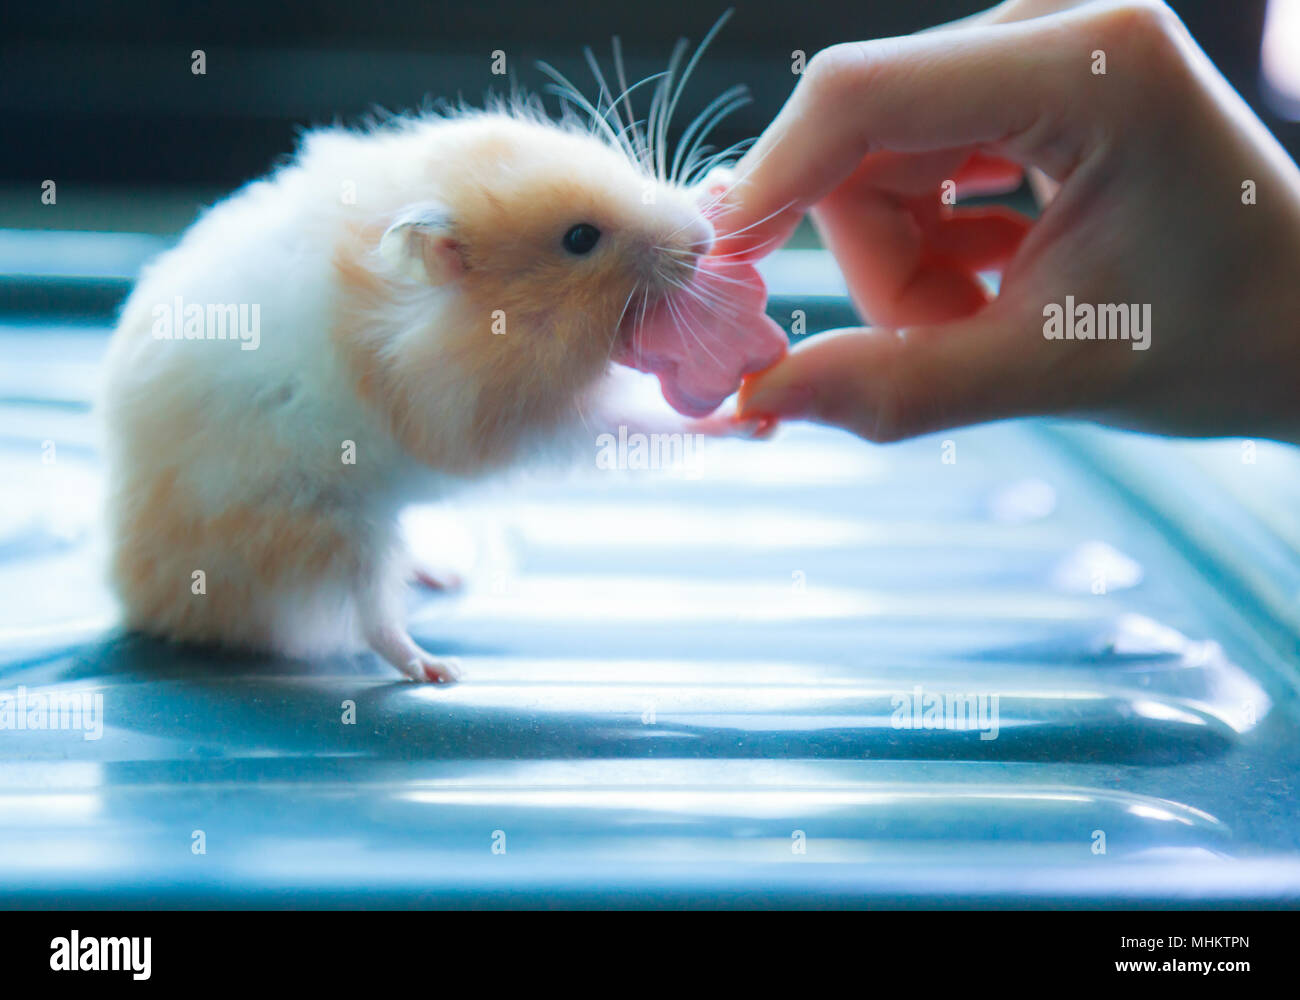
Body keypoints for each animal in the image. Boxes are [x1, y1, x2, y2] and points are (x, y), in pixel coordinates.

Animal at [100, 101, 746, 683]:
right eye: (581, 239)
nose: (704, 239)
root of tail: (145, 602)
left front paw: (717, 185)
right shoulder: (500, 424)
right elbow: (629, 423)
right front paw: (741, 418)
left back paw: (445, 576)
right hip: (329, 525)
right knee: (373, 617)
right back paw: (438, 669)